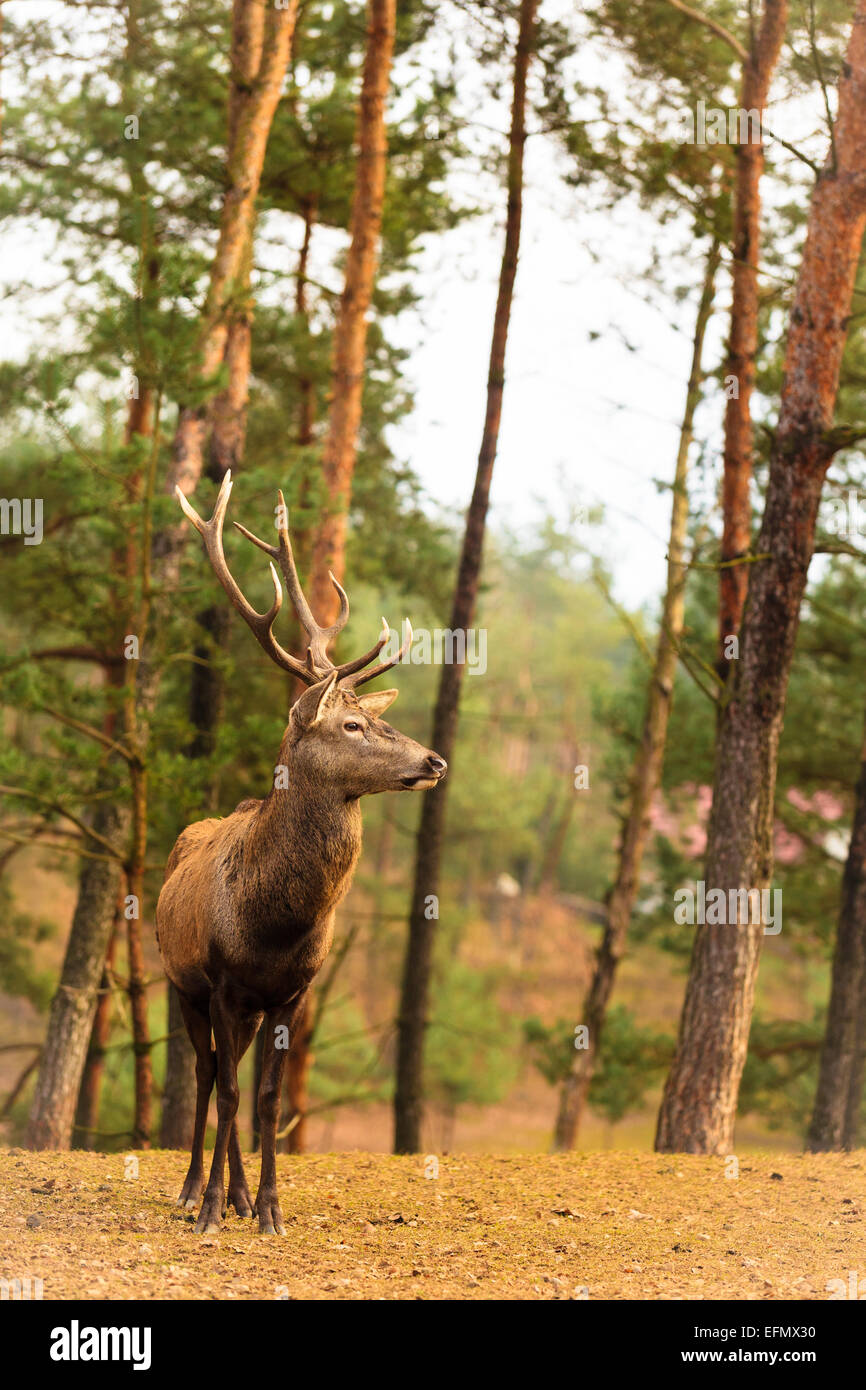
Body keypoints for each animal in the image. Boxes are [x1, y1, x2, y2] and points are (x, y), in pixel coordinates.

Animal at [155, 471, 446, 1235]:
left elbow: (267, 1101)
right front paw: (211, 1212)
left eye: (376, 716)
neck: (274, 923)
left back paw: (235, 1194)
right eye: (351, 725)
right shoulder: (223, 983)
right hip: (178, 982)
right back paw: (195, 1190)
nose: (435, 760)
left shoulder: (292, 993)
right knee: (204, 1076)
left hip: (249, 1008)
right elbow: (228, 1093)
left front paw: (268, 1210)